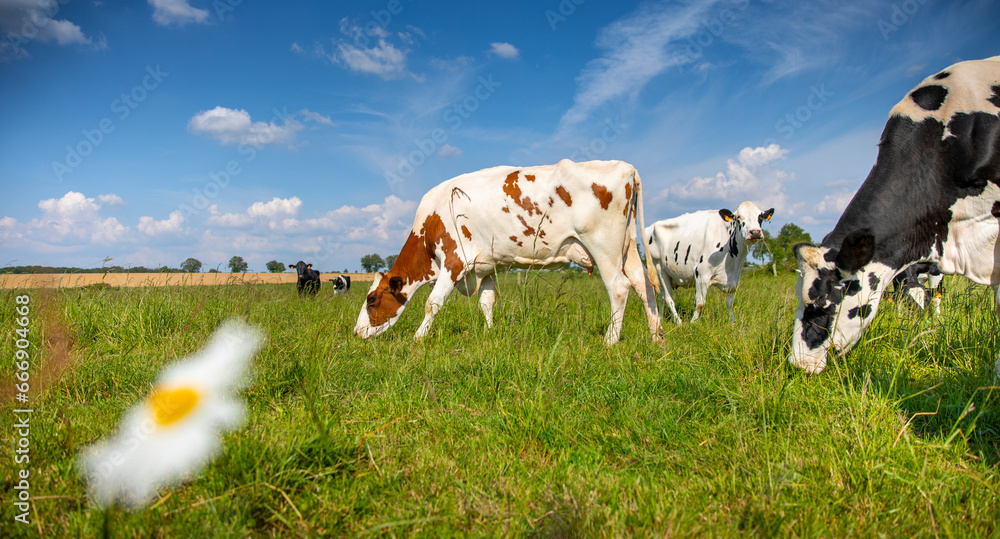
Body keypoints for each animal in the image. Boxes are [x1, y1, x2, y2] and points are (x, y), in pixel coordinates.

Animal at [353, 159, 662, 345]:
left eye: (371, 300)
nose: (356, 332)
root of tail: (625, 166)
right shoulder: (487, 266)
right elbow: (487, 302)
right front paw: (489, 333)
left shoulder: (455, 260)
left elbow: (433, 303)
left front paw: (417, 339)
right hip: (627, 248)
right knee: (644, 284)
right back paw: (656, 336)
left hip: (603, 245)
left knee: (619, 287)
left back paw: (610, 340)